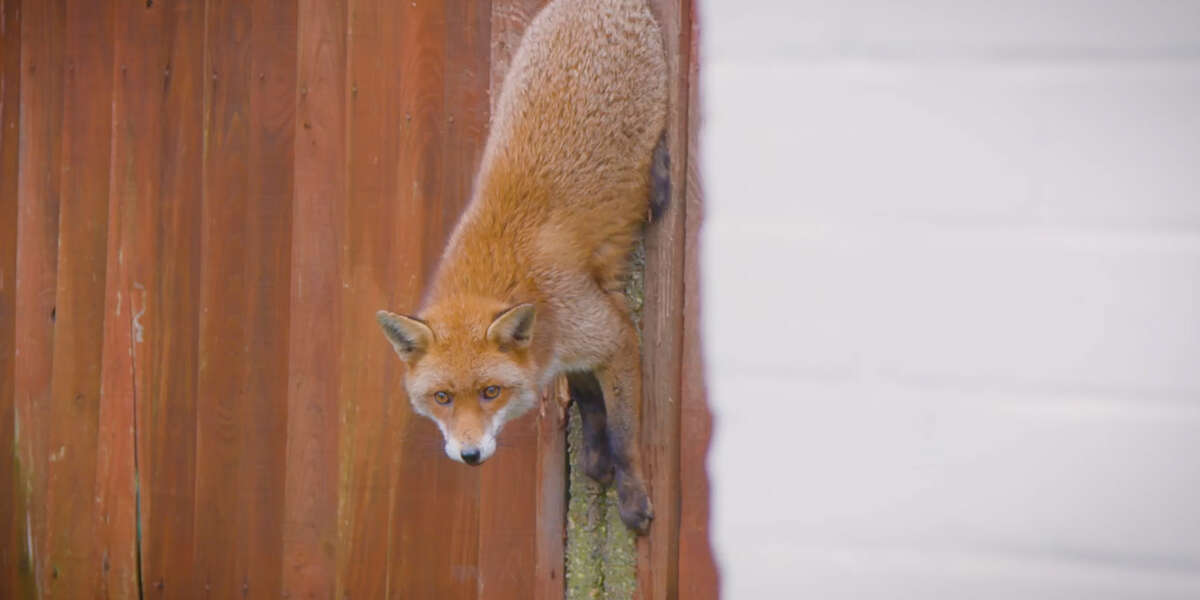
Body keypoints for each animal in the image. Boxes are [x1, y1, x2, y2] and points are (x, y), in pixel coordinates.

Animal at [375, 0, 667, 534]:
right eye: (442, 398)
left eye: (491, 392)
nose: (469, 455)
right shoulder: (566, 350)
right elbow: (589, 399)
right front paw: (595, 461)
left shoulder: (613, 332)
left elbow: (621, 432)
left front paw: (632, 498)